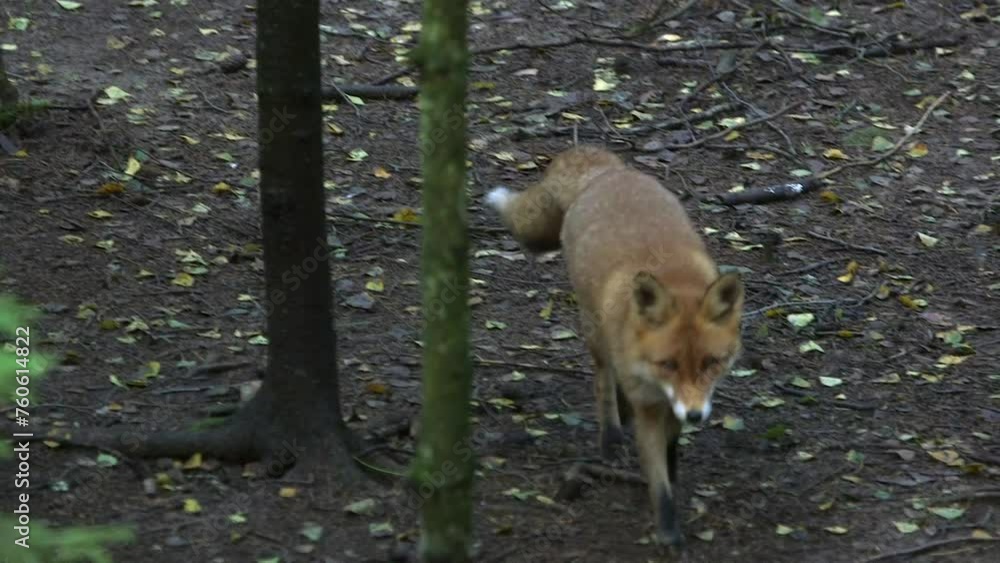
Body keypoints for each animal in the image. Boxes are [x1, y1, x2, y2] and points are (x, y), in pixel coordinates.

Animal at [486, 145, 745, 547]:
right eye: (668, 364)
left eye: (710, 363)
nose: (696, 416)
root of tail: (606, 172)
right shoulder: (652, 406)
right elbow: (658, 480)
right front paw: (667, 532)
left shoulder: (673, 403)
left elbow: (670, 451)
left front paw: (673, 475)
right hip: (594, 330)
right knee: (603, 379)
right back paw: (610, 435)